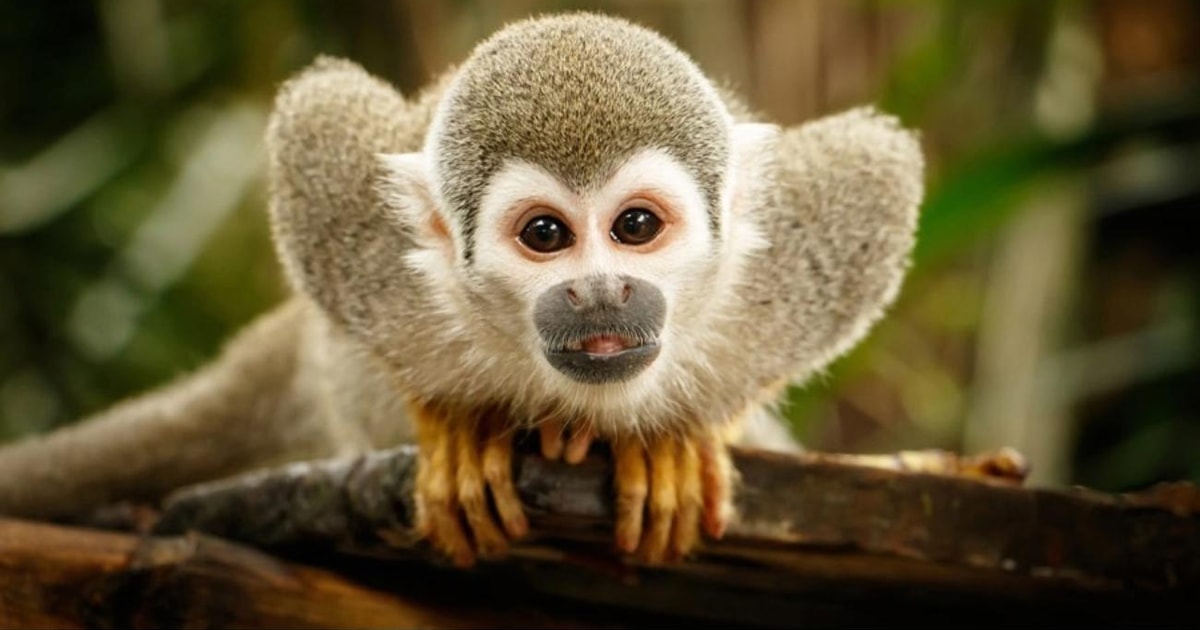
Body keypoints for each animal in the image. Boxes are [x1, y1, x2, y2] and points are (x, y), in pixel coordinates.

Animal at [0, 13, 923, 567]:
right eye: (546, 236)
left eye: (635, 227)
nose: (599, 293)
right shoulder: (369, 258)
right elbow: (319, 117)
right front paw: (452, 425)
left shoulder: (793, 262)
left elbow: (878, 169)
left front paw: (680, 437)